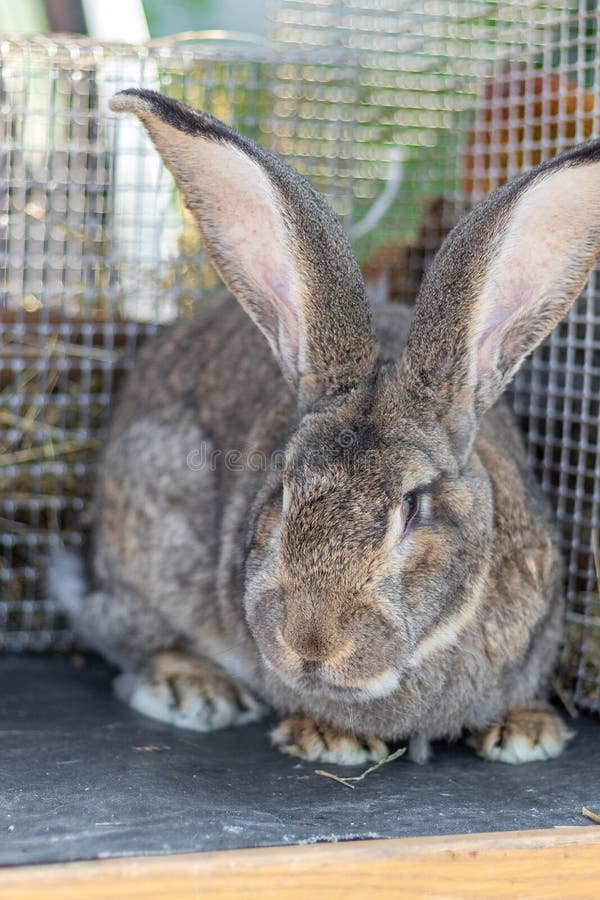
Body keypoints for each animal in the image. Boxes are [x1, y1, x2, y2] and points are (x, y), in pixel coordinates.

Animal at [52, 88, 600, 767]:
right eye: (284, 489)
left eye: (413, 506)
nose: (311, 644)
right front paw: (330, 739)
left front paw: (526, 732)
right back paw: (195, 689)